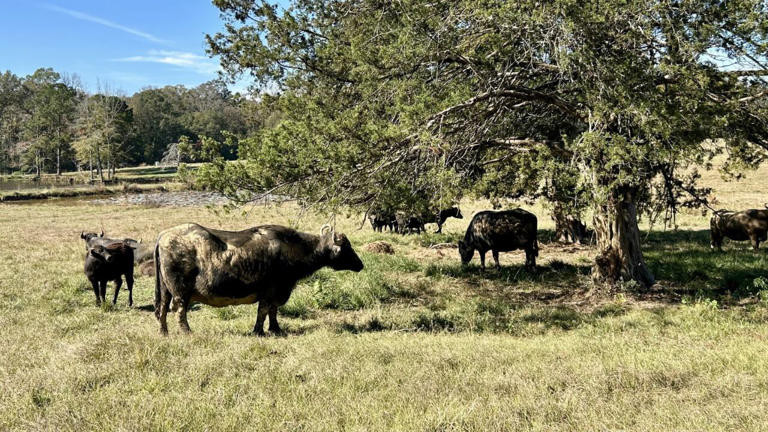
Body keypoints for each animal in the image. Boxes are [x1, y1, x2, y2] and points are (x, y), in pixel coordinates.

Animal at [154, 223, 364, 335]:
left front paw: (275, 329)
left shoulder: (277, 293)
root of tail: (163, 236)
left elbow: (273, 311)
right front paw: (258, 331)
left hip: (165, 290)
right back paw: (187, 332)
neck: (291, 249)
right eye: (347, 247)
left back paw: (164, 333)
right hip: (181, 292)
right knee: (179, 311)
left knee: (162, 309)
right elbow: (263, 311)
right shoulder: (271, 291)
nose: (360, 265)